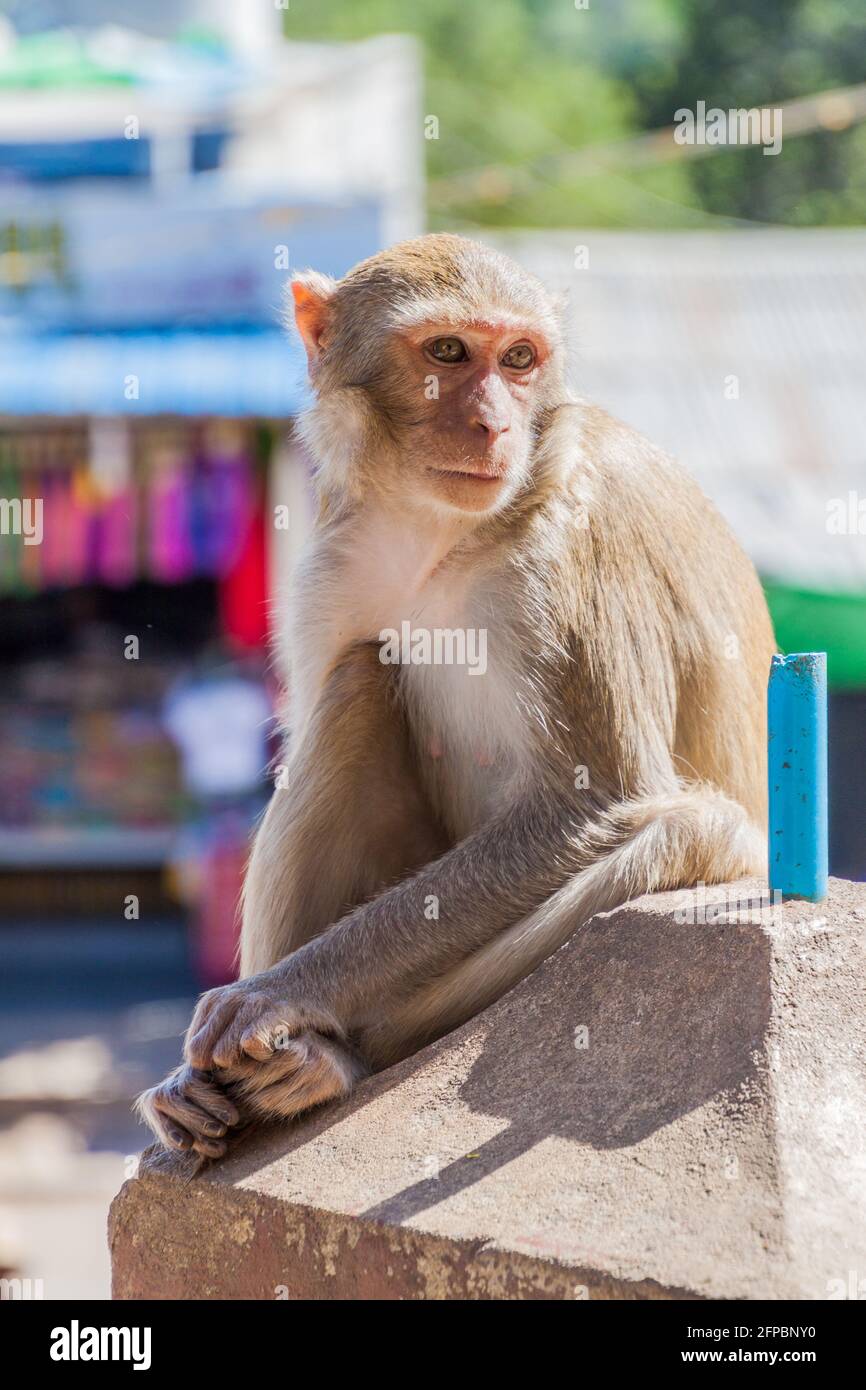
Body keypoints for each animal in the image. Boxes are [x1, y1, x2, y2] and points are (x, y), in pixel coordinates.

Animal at [137, 233, 776, 1162]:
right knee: (361, 677)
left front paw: (281, 993)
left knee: (691, 832)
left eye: (519, 360)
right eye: (446, 352)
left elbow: (596, 799)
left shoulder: (572, 543)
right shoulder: (327, 566)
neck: (439, 530)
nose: (494, 425)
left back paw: (334, 1058)